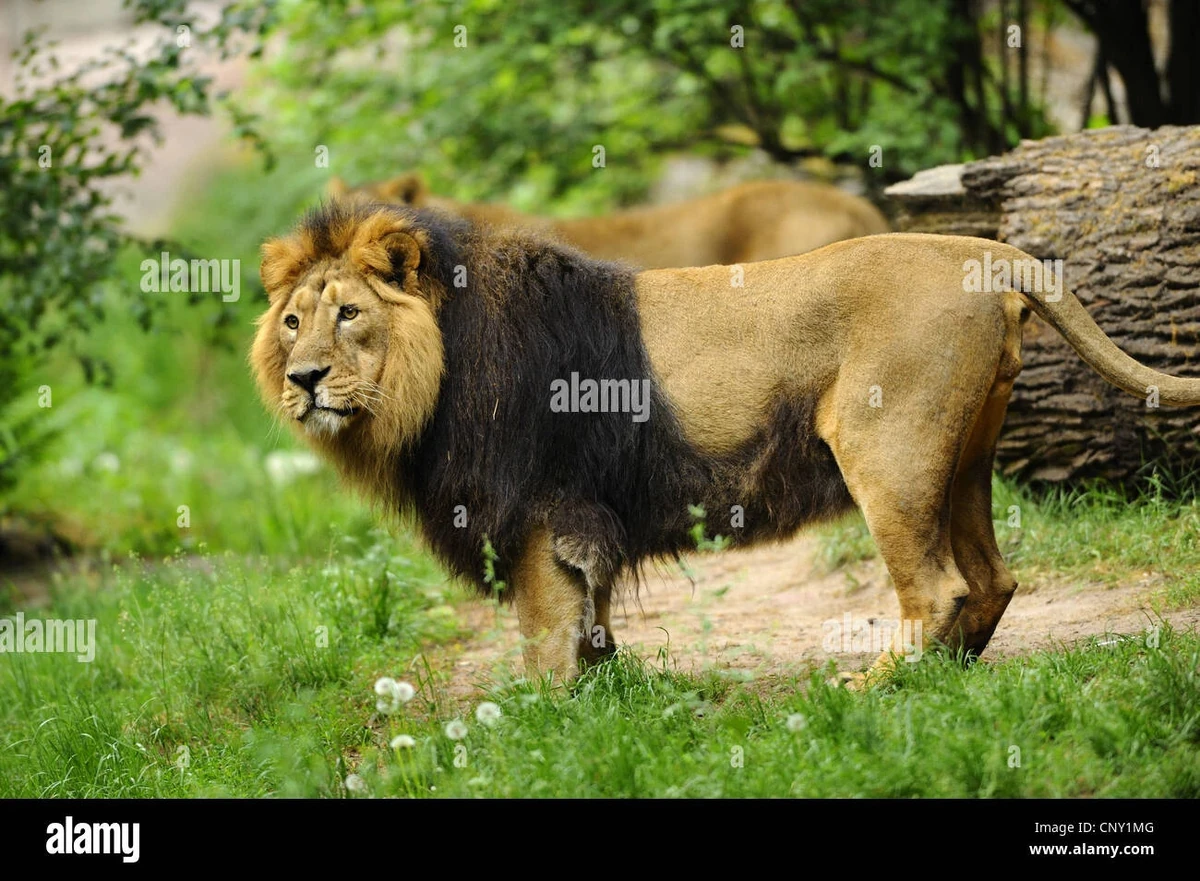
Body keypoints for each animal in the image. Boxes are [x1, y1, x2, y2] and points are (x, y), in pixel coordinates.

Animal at [252, 200, 1200, 685]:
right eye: (293, 321)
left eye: (350, 314)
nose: (304, 378)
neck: (432, 375)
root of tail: (985, 251)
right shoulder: (581, 515)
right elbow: (591, 619)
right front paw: (605, 697)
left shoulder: (540, 507)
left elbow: (545, 626)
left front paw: (541, 715)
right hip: (963, 458)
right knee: (994, 580)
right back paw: (950, 678)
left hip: (887, 450)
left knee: (940, 587)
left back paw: (882, 690)